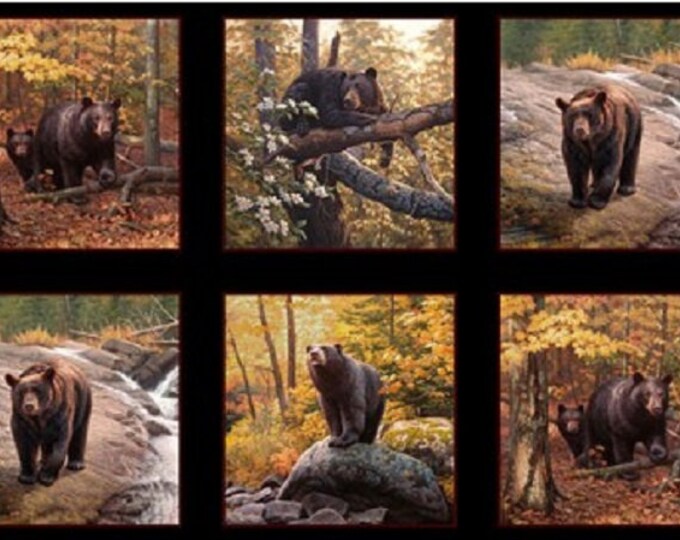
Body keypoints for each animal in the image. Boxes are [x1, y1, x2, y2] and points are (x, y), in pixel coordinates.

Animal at [5, 358, 92, 486]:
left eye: (38, 391)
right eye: (21, 392)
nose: (29, 406)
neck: (40, 417)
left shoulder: (60, 413)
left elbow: (60, 442)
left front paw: (46, 477)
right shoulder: (22, 418)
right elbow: (25, 444)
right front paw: (27, 477)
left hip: (83, 400)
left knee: (80, 430)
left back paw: (76, 464)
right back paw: (42, 461)